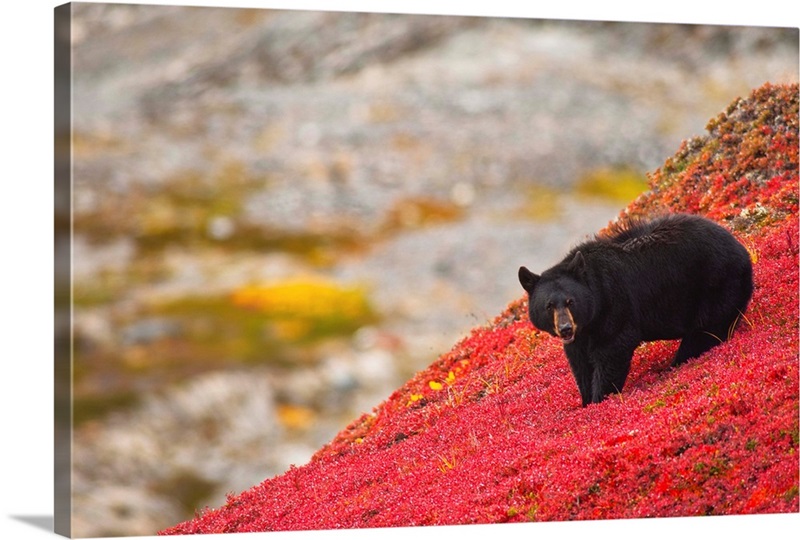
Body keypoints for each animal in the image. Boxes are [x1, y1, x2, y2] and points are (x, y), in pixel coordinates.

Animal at [518, 213, 753, 407]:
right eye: (548, 305)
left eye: (570, 301)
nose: (565, 328)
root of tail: (741, 248)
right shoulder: (582, 334)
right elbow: (580, 363)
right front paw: (586, 401)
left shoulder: (614, 305)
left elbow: (612, 350)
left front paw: (600, 398)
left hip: (715, 288)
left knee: (705, 333)